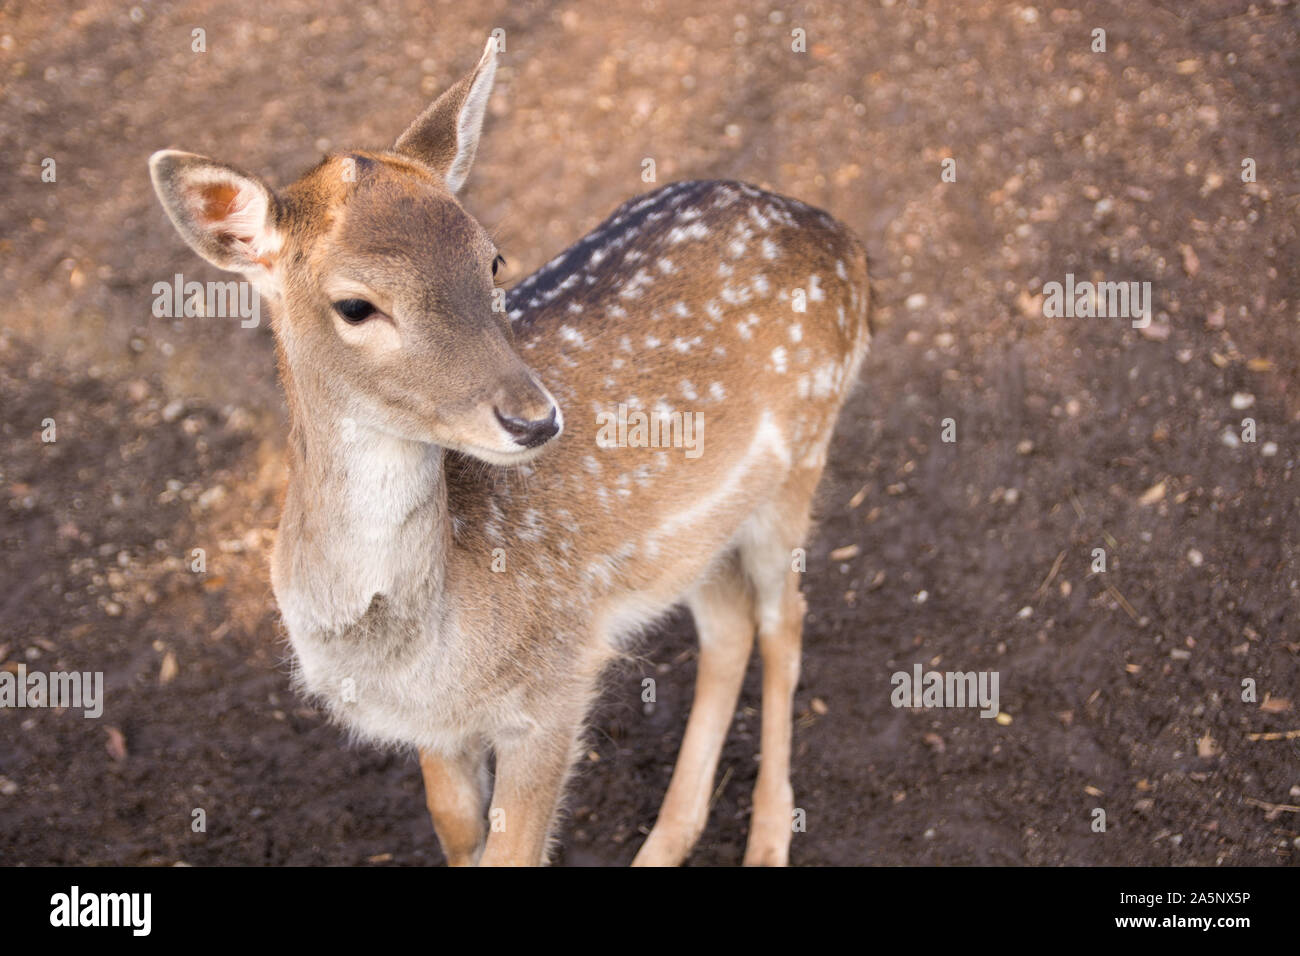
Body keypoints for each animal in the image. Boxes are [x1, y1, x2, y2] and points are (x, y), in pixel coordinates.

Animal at [149, 37, 871, 866]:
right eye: (355, 305)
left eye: (492, 261)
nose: (535, 419)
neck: (423, 645)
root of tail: (848, 244)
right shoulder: (437, 726)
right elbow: (457, 834)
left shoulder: (555, 683)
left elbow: (514, 848)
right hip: (699, 532)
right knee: (729, 624)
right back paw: (664, 841)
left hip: (803, 455)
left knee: (785, 618)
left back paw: (767, 839)